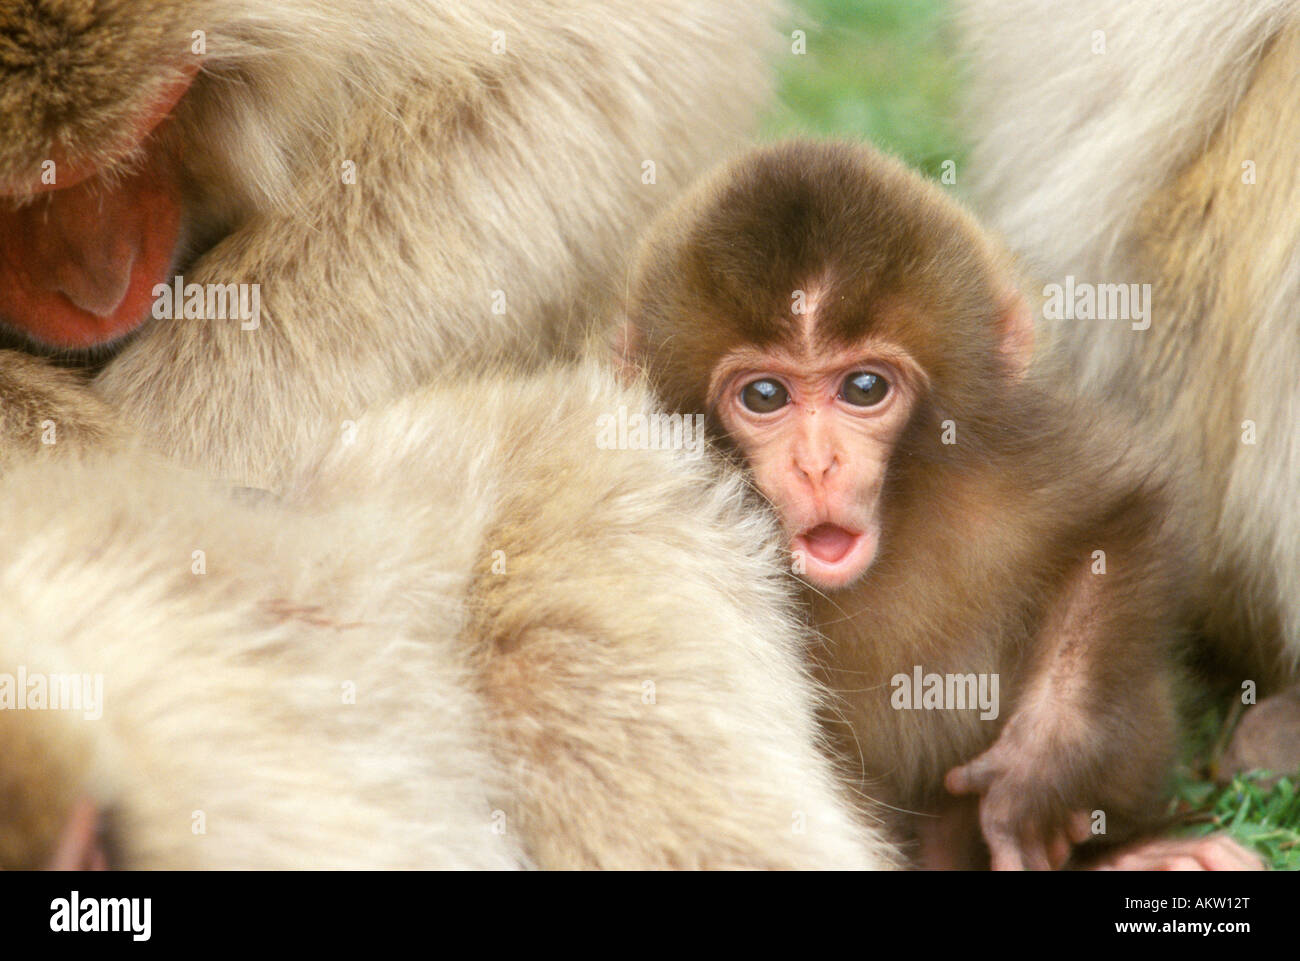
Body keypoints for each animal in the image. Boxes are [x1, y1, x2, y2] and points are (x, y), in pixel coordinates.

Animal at [620, 139, 1264, 870]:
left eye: (864, 387)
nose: (815, 464)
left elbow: (1124, 518)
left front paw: (1041, 767)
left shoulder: (1008, 445)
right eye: (763, 396)